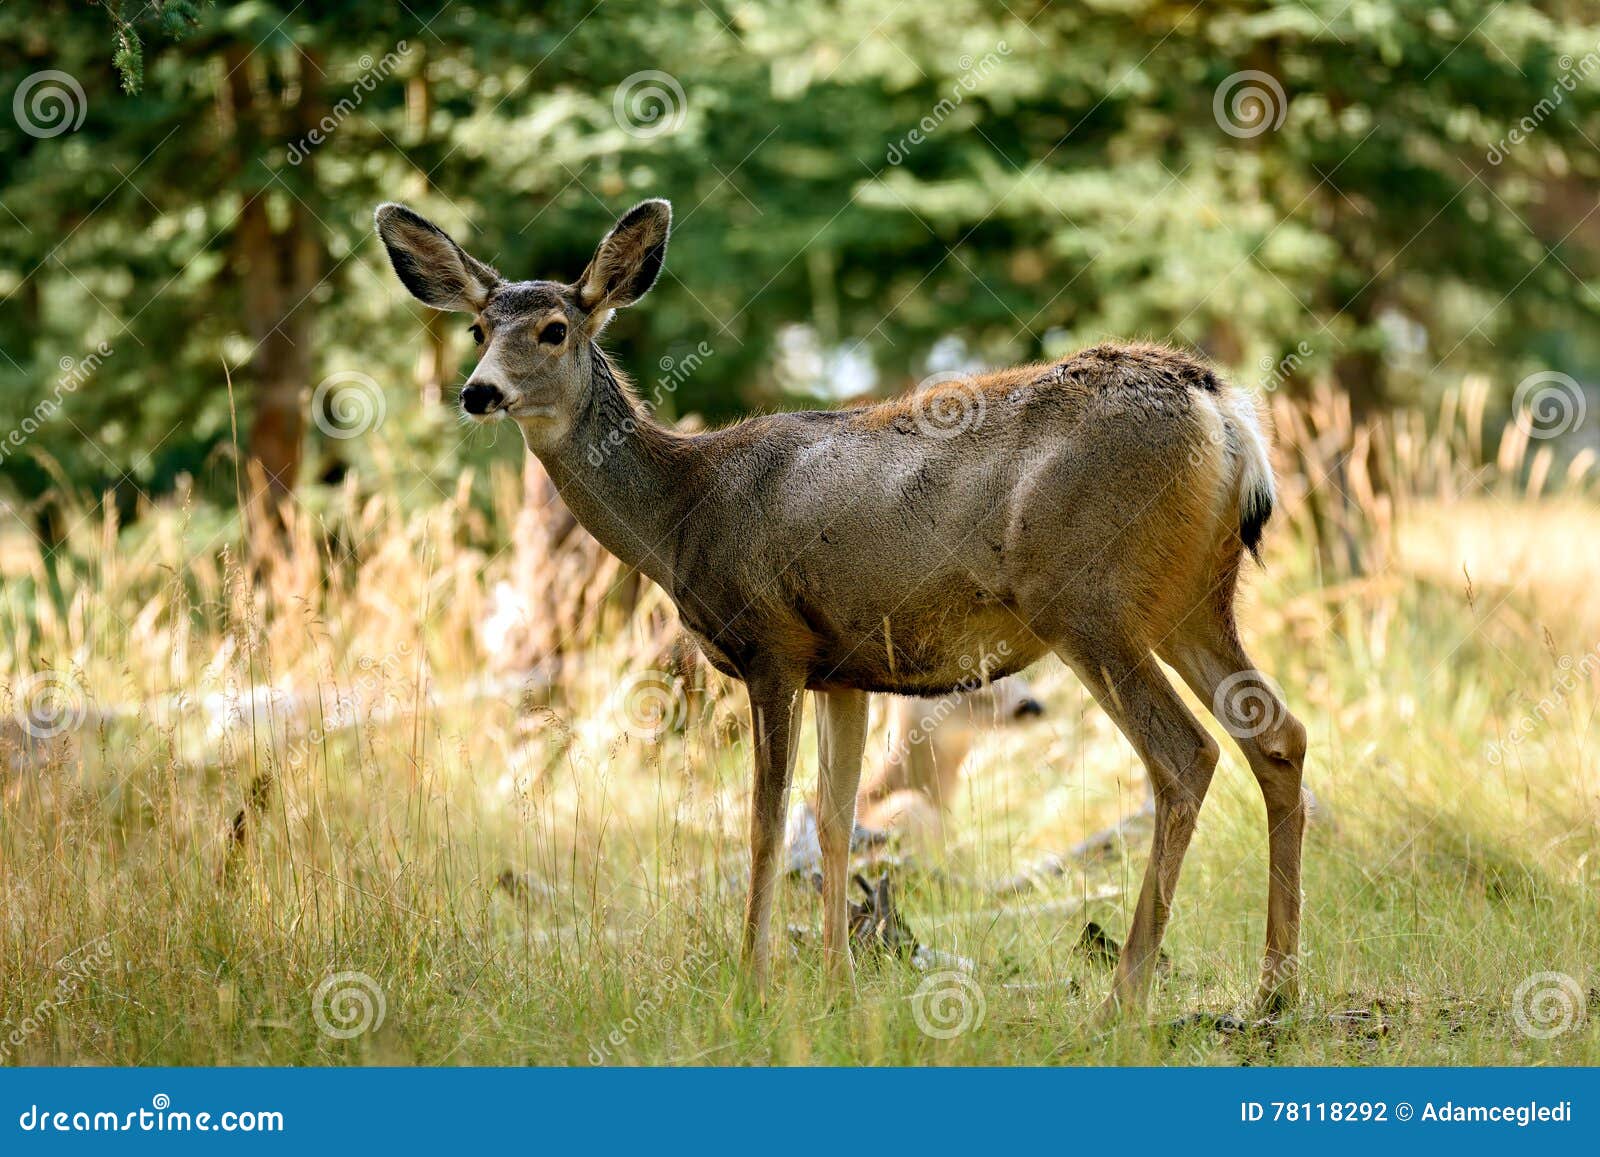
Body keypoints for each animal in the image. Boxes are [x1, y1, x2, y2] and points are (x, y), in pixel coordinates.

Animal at [374, 198, 1309, 1017]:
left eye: (554, 328)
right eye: (477, 328)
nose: (478, 391)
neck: (681, 514)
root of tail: (1222, 406)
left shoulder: (771, 644)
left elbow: (761, 822)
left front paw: (752, 984)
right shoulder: (845, 669)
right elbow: (831, 820)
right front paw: (836, 982)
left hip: (1087, 598)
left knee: (1184, 755)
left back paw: (1124, 995)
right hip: (1195, 599)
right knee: (1279, 734)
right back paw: (1273, 988)